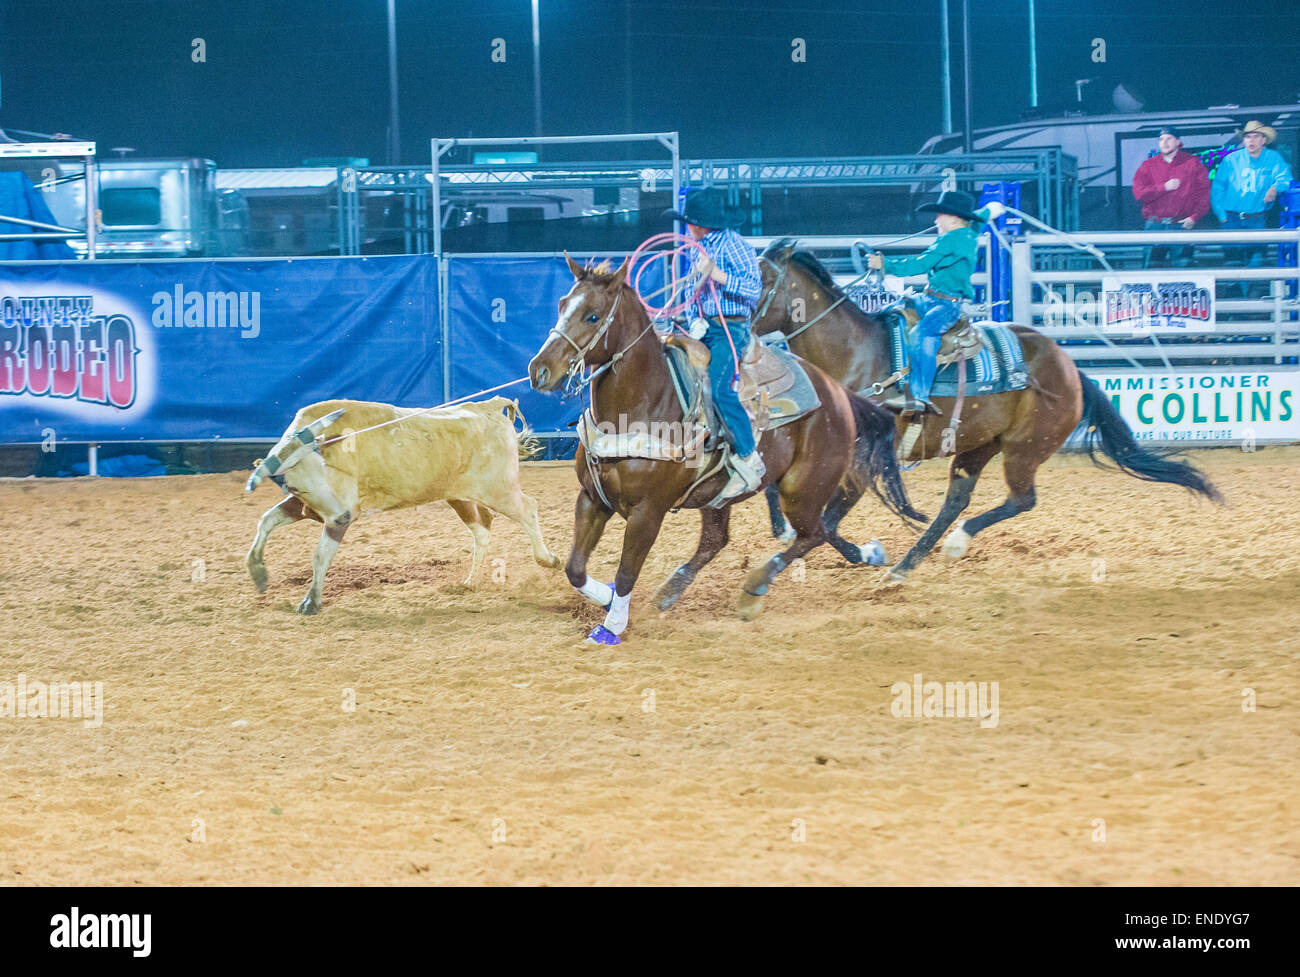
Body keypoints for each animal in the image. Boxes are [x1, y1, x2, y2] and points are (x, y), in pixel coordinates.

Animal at [244, 396, 561, 614]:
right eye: (296, 475)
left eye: (319, 458)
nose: (343, 513)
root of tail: (489, 406)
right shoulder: (305, 505)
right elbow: (266, 521)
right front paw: (258, 572)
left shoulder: (336, 518)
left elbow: (320, 556)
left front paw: (311, 601)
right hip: (459, 496)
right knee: (482, 528)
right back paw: (472, 580)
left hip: (500, 490)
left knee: (528, 509)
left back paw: (548, 559)